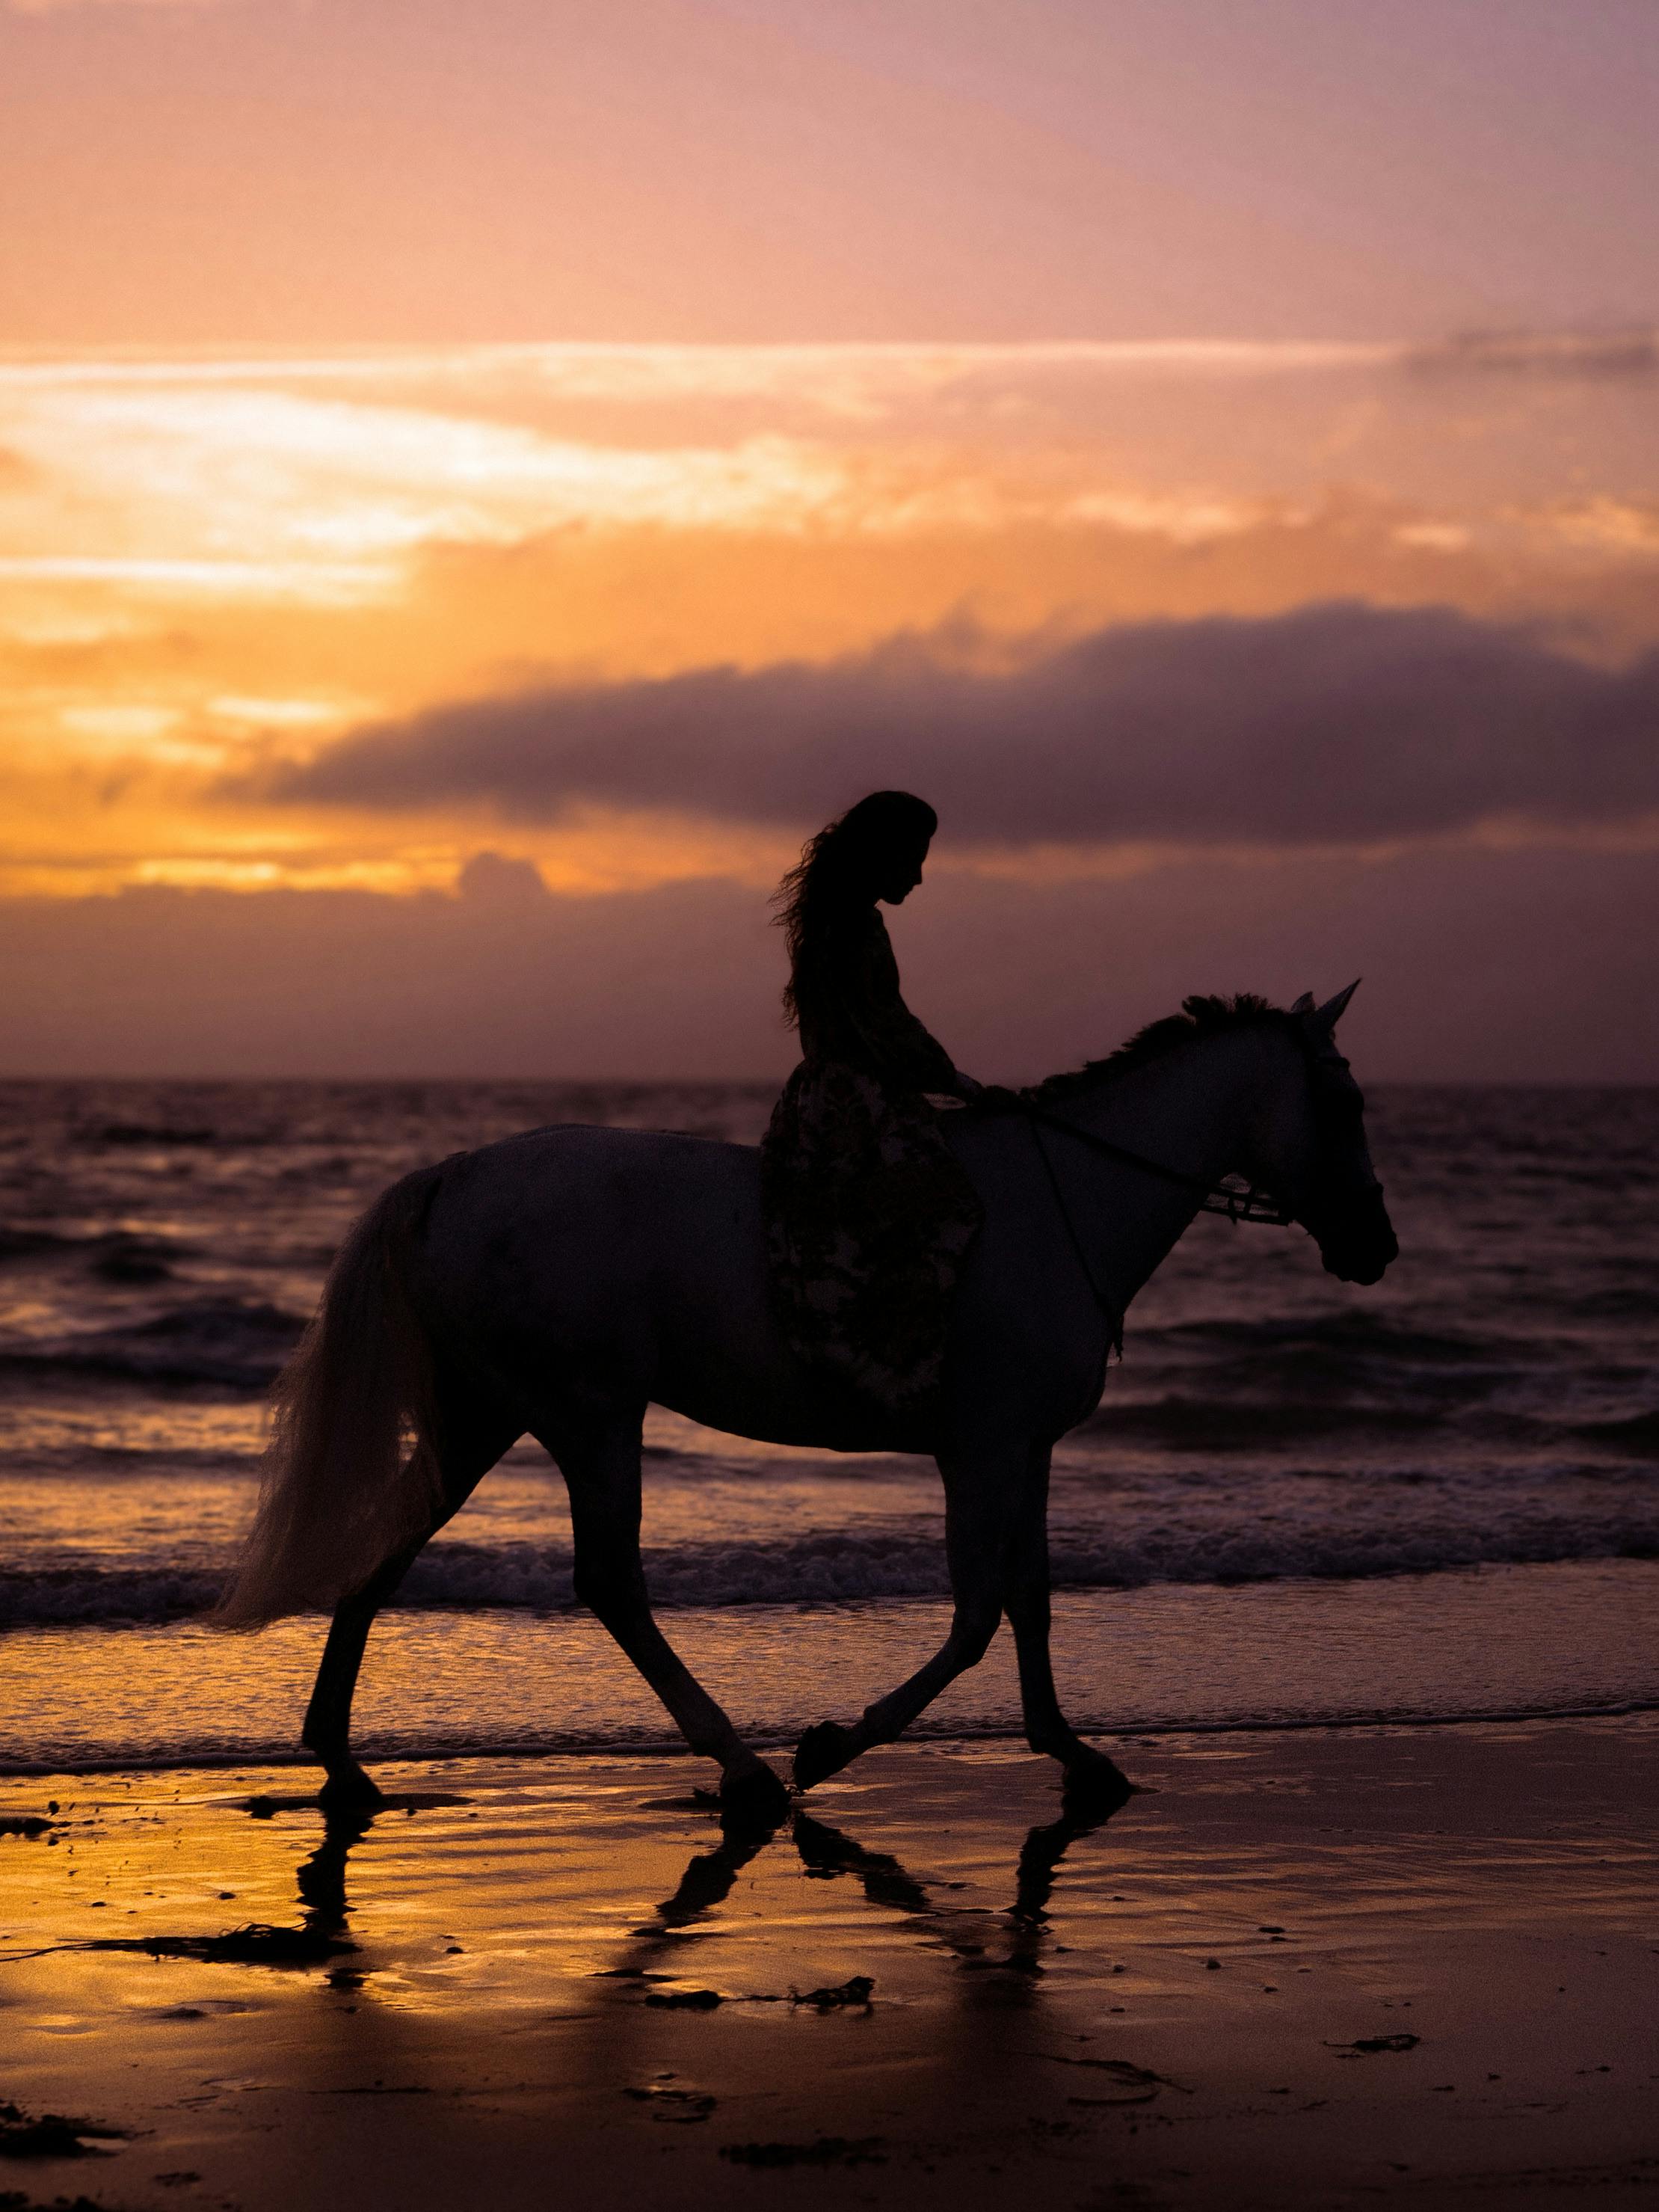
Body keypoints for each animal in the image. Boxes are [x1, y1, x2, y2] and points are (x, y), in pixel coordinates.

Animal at [214, 985, 1398, 1827]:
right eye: (1343, 1102)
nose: (1375, 1248)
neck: (1058, 1205)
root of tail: (450, 1176)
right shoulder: (979, 1447)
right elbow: (975, 1615)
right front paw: (834, 1746)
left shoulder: (1027, 1447)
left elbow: (1029, 1599)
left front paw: (1070, 1751)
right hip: (589, 1414)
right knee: (608, 1582)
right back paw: (742, 1768)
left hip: (487, 1415)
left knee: (393, 1550)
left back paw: (340, 1760)